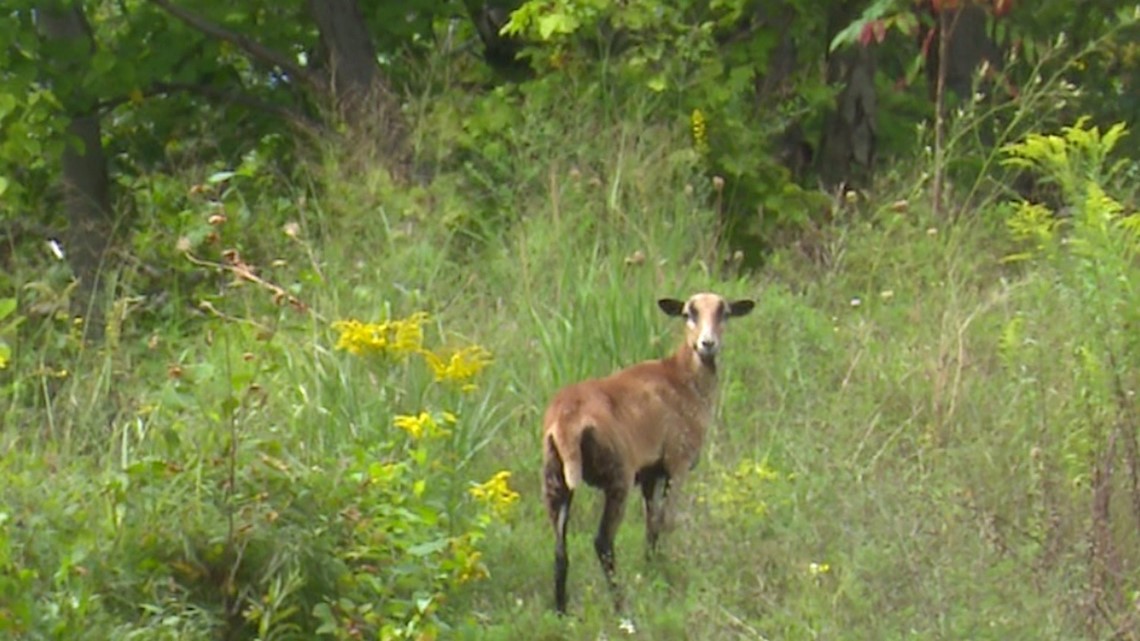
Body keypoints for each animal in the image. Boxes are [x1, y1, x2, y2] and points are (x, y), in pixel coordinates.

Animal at [541, 292, 755, 616]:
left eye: (725, 313)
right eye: (688, 314)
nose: (707, 344)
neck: (683, 377)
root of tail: (567, 420)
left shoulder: (650, 473)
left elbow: (650, 526)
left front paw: (651, 566)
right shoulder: (676, 464)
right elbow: (665, 522)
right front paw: (662, 576)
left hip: (554, 477)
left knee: (559, 549)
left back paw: (561, 612)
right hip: (617, 477)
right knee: (602, 542)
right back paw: (621, 607)